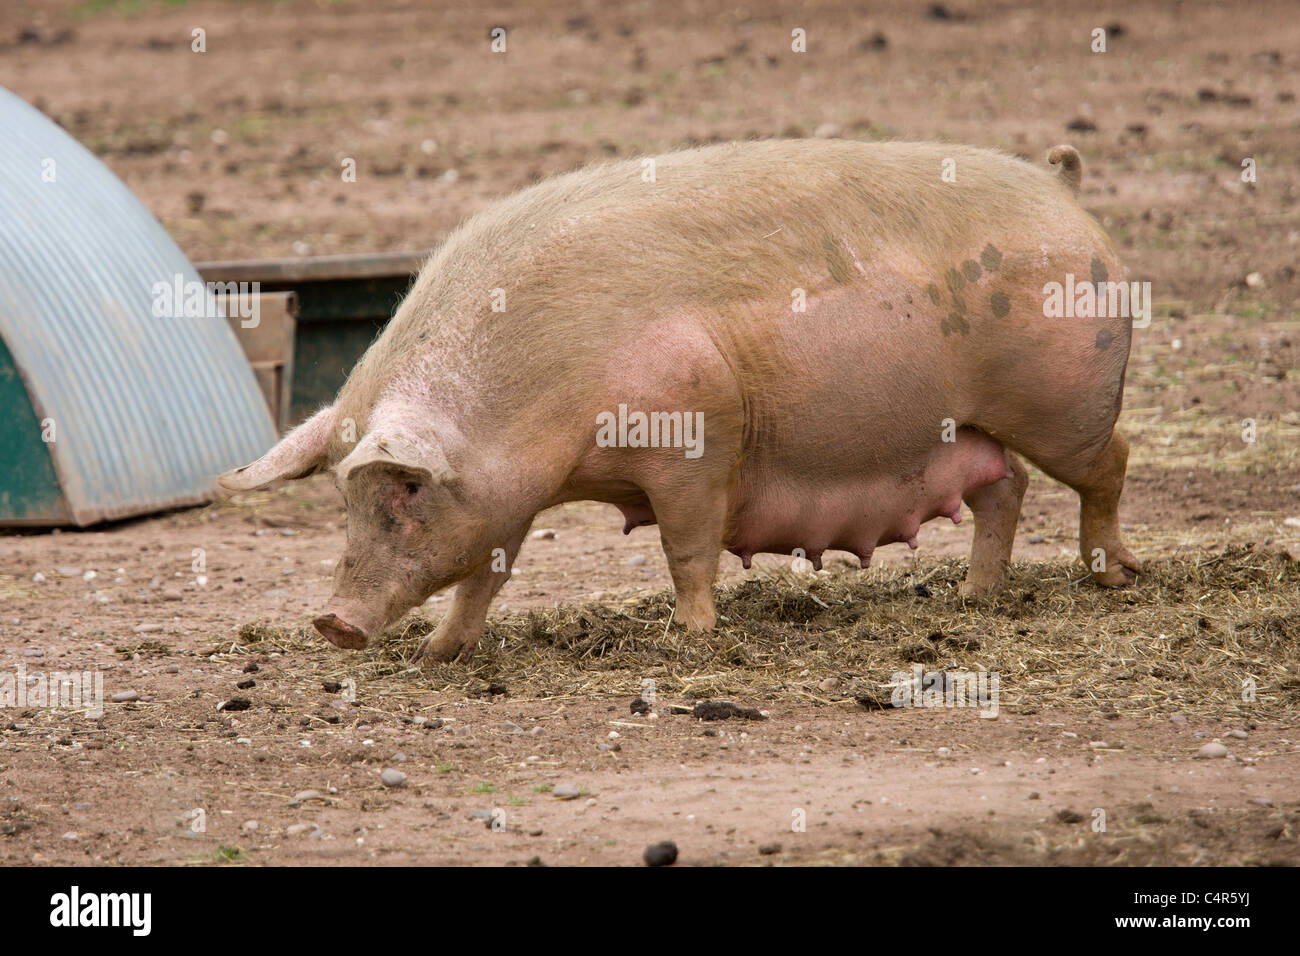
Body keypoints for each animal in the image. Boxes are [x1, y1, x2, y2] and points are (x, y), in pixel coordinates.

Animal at [219, 139, 1138, 663]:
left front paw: (690, 638)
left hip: (1067, 407)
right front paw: (440, 654)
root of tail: (1060, 187)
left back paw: (1114, 577)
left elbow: (686, 547)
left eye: (406, 488)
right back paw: (975, 599)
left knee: (1106, 466)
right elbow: (485, 577)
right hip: (970, 430)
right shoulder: (502, 500)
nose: (332, 621)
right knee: (1005, 487)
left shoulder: (696, 436)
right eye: (342, 501)